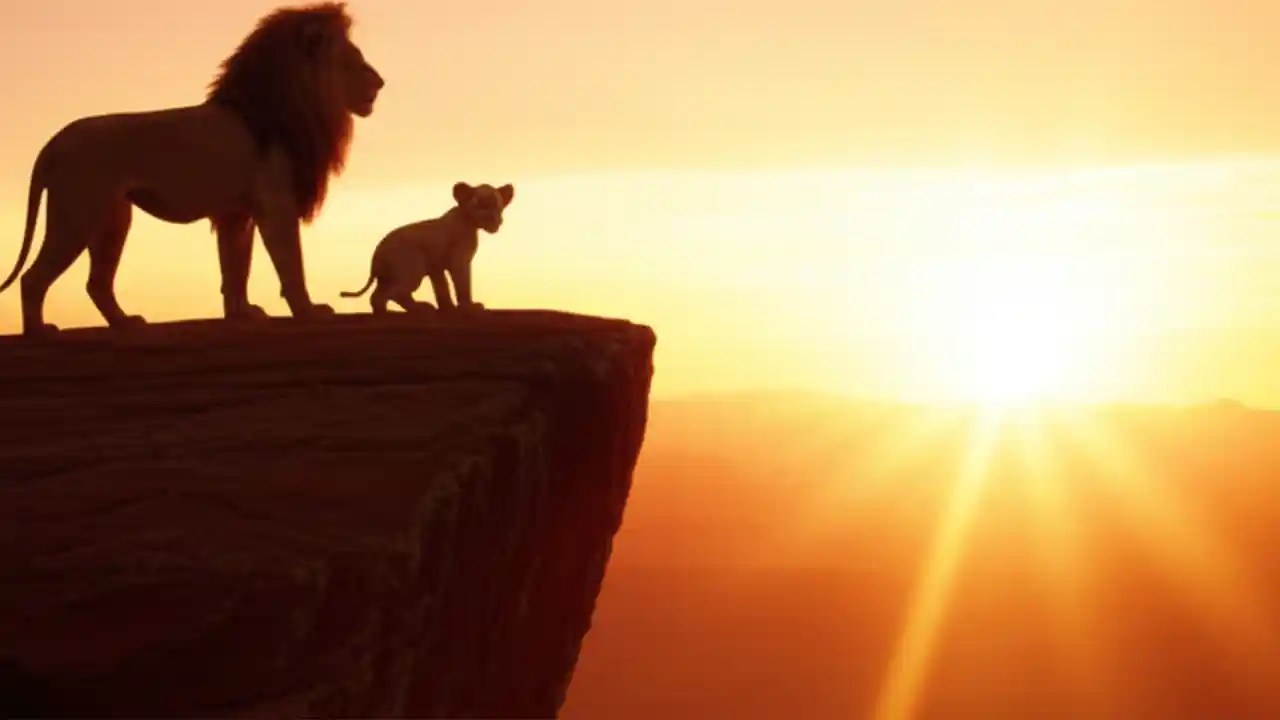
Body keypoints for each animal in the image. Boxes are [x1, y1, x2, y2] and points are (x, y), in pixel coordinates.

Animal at [0, 2, 384, 337]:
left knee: (97, 284)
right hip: (77, 214)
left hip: (112, 218)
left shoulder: (237, 213)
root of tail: (53, 142)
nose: (380, 83)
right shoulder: (276, 204)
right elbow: (290, 263)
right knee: (33, 279)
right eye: (352, 60)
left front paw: (242, 314)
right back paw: (38, 331)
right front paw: (307, 311)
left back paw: (124, 322)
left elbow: (236, 268)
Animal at [341, 182, 514, 315]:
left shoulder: (435, 268)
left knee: (381, 295)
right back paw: (404, 310)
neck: (470, 223)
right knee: (391, 294)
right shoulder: (459, 261)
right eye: (481, 205)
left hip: (388, 277)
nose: (493, 218)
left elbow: (441, 288)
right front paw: (469, 307)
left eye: (497, 205)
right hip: (411, 271)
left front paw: (447, 308)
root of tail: (376, 257)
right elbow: (462, 284)